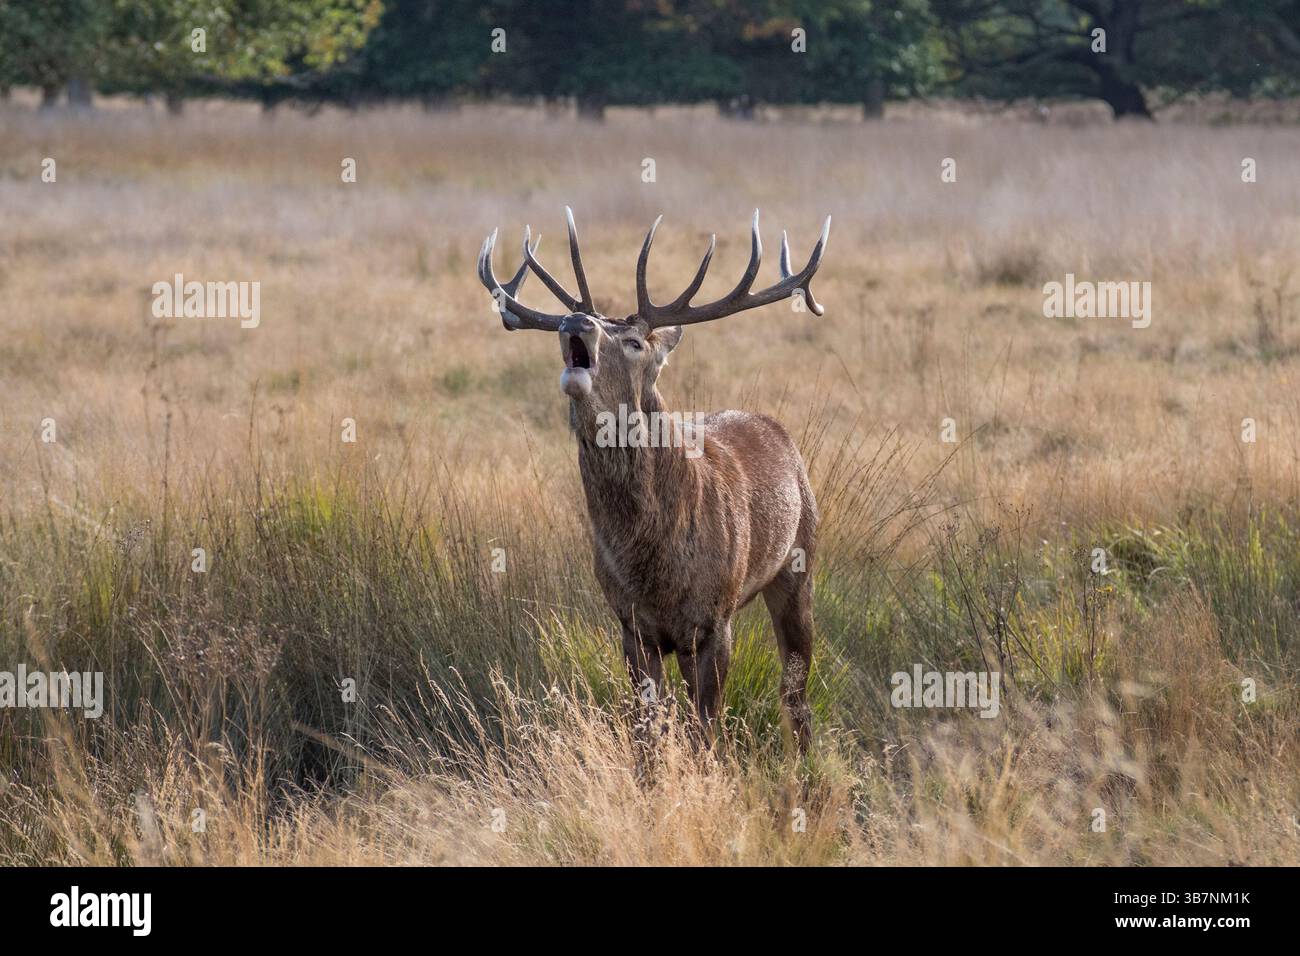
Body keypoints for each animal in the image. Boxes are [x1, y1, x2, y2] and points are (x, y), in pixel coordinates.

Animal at [476, 208, 830, 753]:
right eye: (576, 325)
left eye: (634, 341)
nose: (574, 322)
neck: (655, 561)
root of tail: (779, 432)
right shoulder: (631, 626)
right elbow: (648, 734)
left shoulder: (715, 619)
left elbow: (707, 732)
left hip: (800, 561)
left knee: (796, 690)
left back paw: (804, 763)